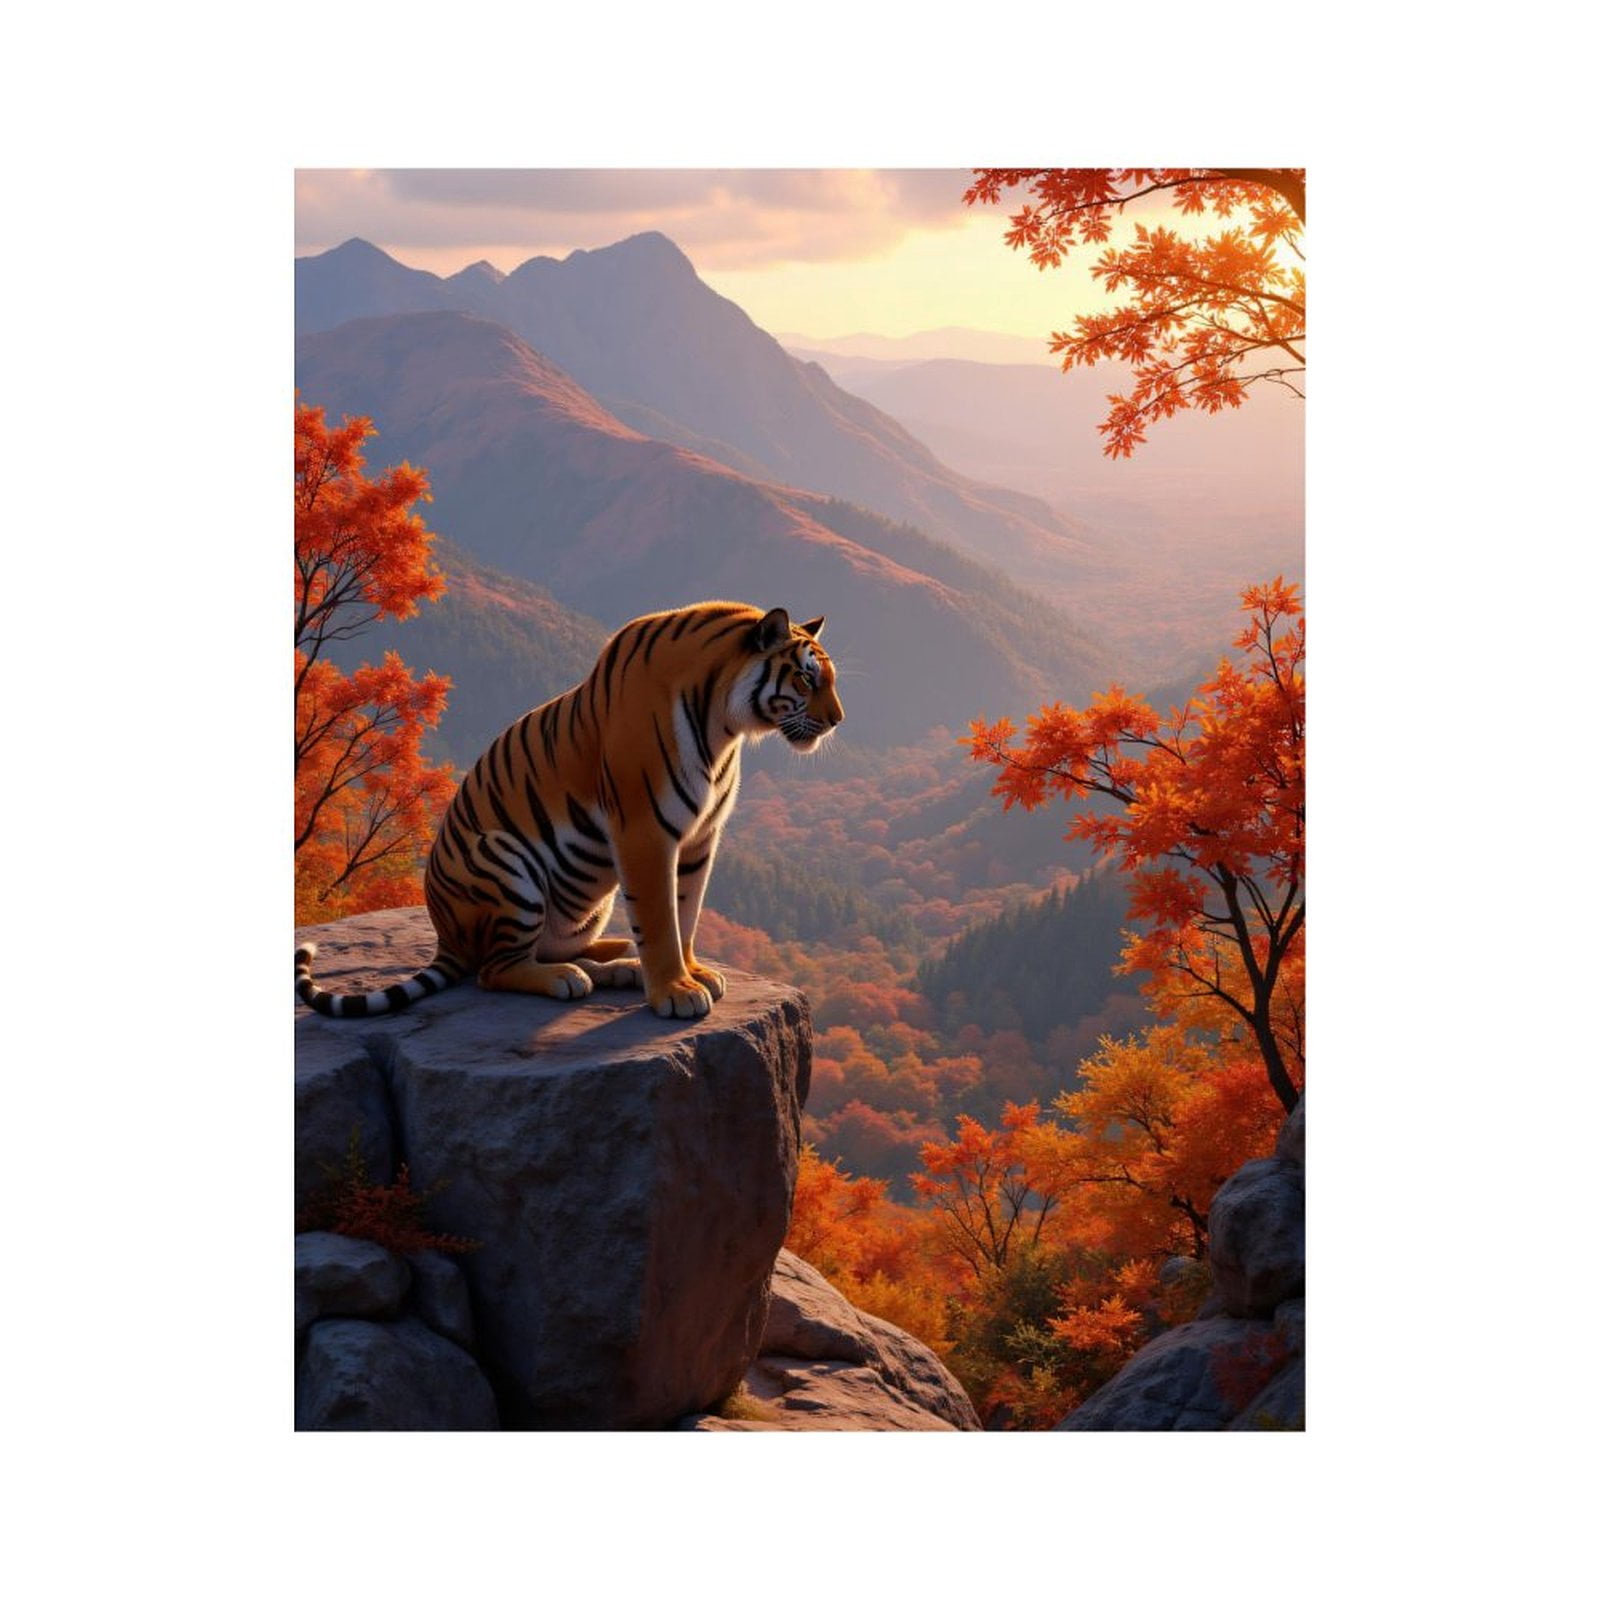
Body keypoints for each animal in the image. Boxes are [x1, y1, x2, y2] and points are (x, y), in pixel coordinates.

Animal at [296, 602, 843, 1021]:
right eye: (806, 678)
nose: (838, 720)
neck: (723, 725)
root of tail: (444, 936)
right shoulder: (645, 831)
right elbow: (660, 918)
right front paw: (675, 991)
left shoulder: (701, 835)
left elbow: (686, 911)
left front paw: (693, 972)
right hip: (503, 862)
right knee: (495, 969)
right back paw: (569, 978)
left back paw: (618, 962)